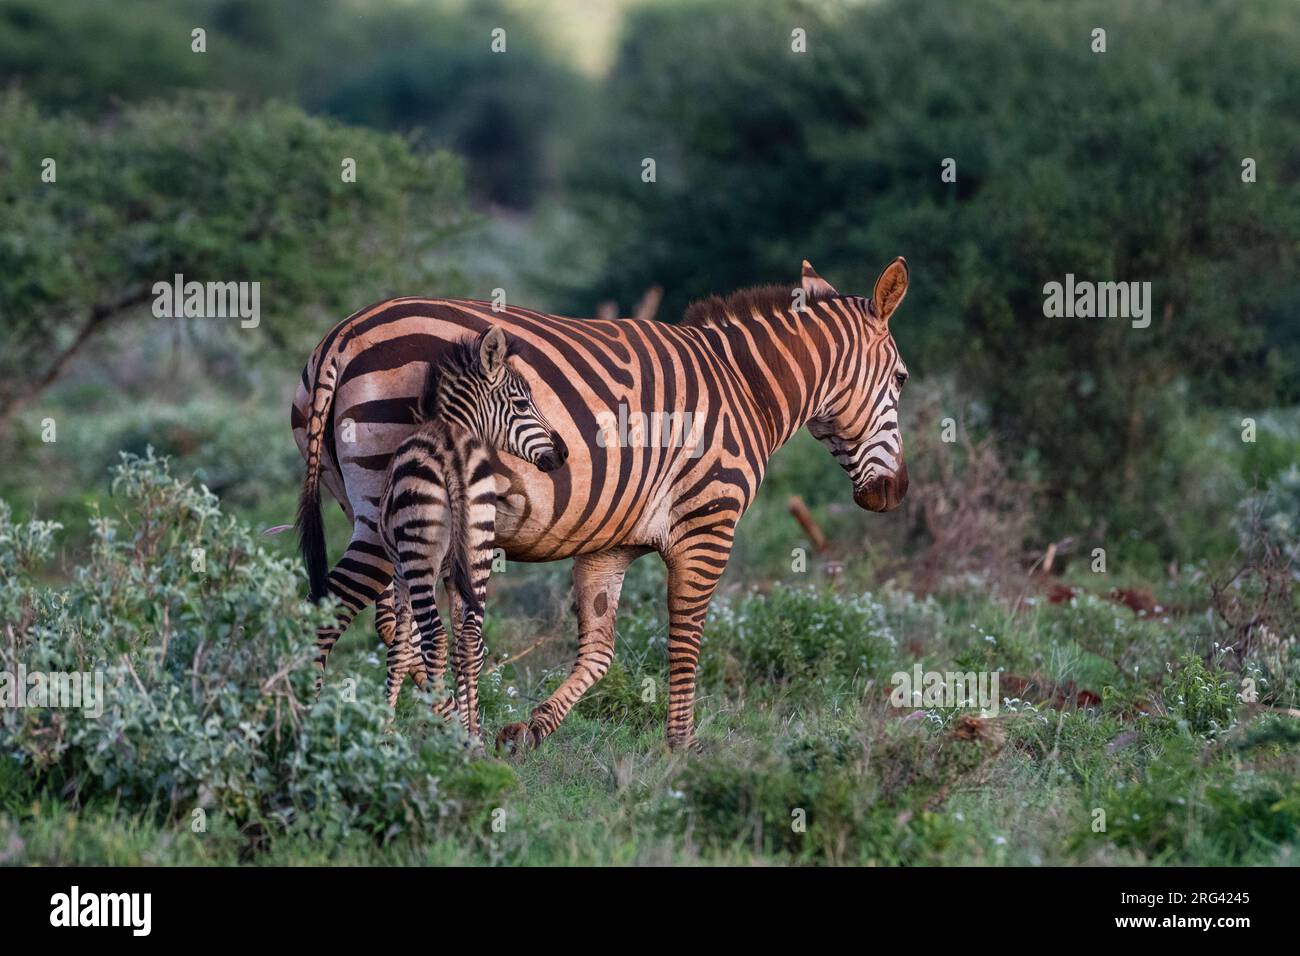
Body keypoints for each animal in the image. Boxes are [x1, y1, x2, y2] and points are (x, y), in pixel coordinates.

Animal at [377, 326, 566, 741]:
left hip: (419, 555)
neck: (453, 426)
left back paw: (435, 731)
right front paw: (465, 726)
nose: (562, 454)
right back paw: (472, 737)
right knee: (470, 639)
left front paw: (384, 730)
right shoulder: (454, 571)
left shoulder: (400, 567)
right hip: (479, 546)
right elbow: (460, 645)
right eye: (523, 403)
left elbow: (401, 646)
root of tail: (453, 452)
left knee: (435, 637)